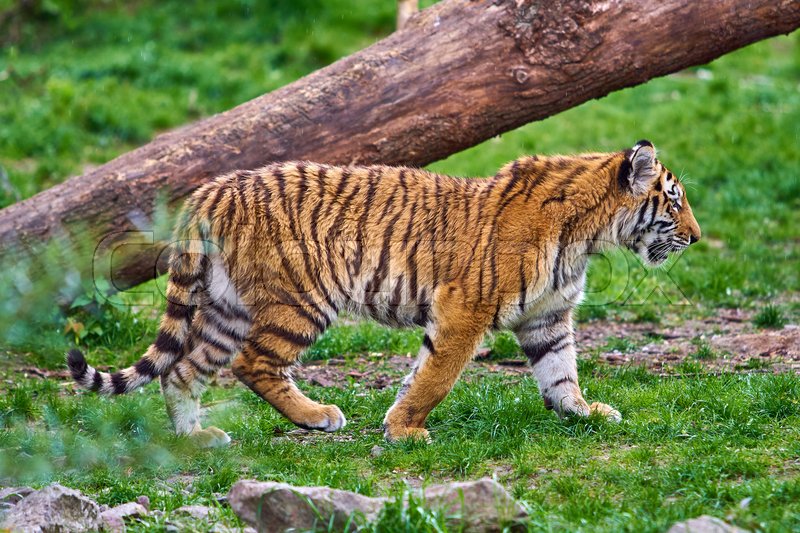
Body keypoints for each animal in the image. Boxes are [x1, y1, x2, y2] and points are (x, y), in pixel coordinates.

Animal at [68, 140, 701, 447]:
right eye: (674, 202)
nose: (696, 237)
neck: (588, 235)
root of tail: (212, 189)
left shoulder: (546, 319)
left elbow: (560, 371)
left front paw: (583, 413)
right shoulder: (464, 309)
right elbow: (436, 376)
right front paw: (406, 430)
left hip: (227, 306)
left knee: (184, 367)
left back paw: (196, 438)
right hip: (299, 300)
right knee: (253, 364)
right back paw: (317, 417)